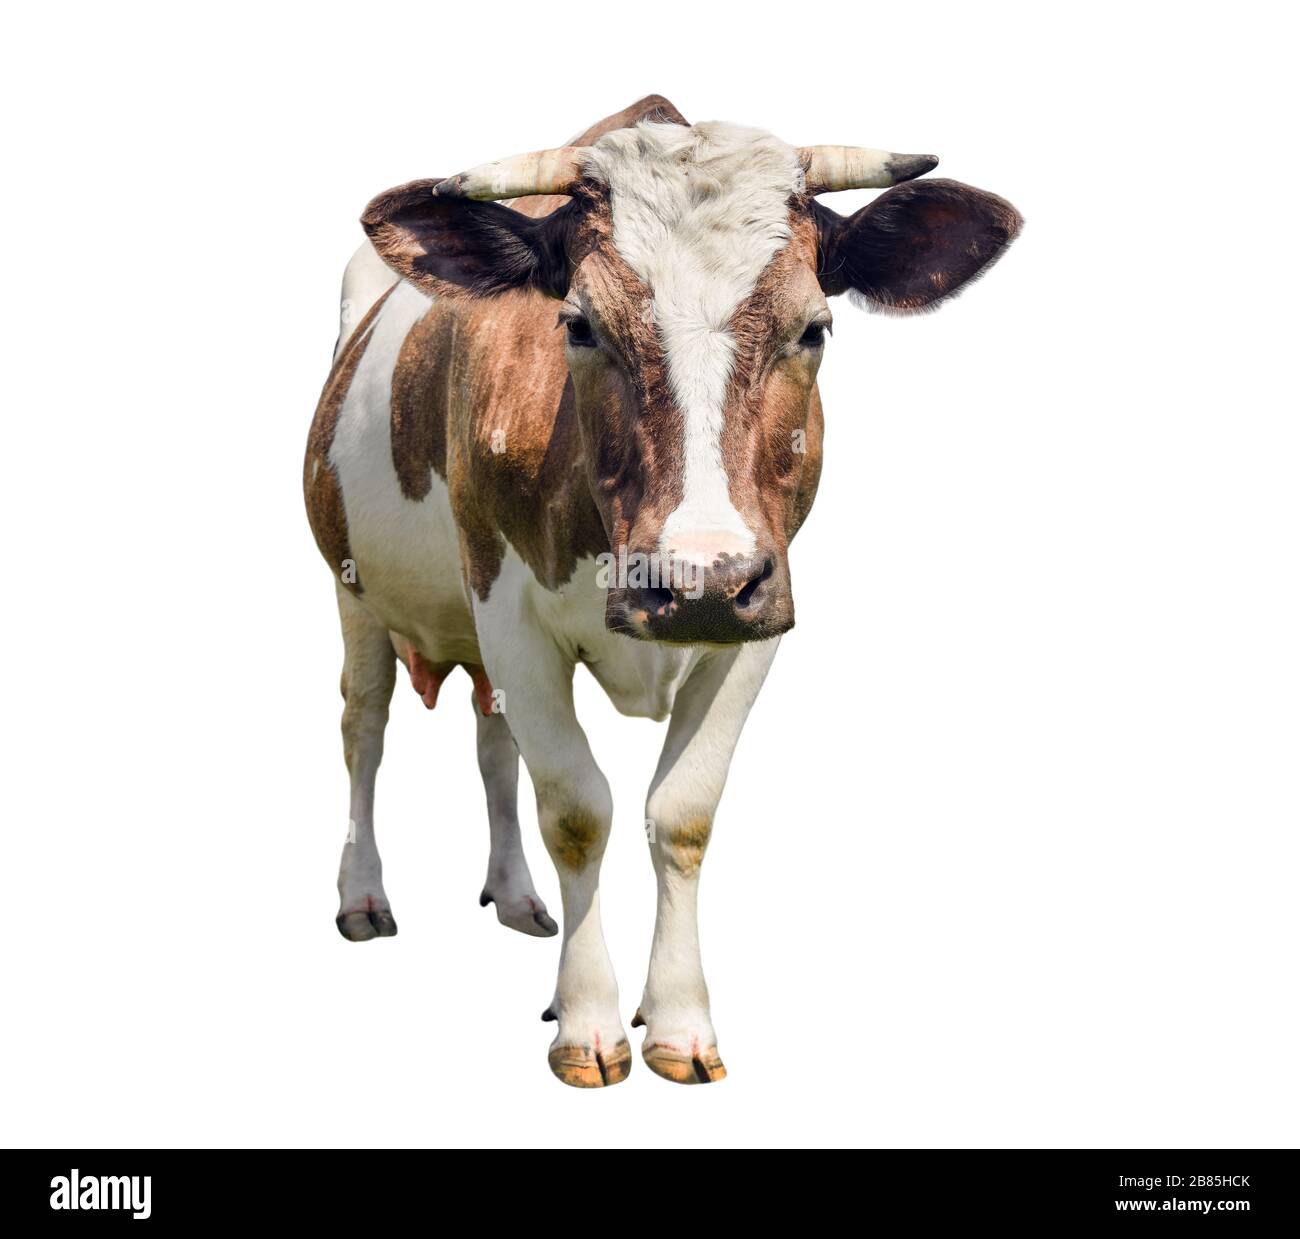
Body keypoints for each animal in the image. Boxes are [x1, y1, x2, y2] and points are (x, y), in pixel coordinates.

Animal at [304, 96, 1021, 1087]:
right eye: (577, 324)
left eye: (814, 328)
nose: (697, 579)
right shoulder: (509, 608)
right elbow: (576, 807)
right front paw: (588, 1023)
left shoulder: (756, 616)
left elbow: (680, 814)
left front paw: (677, 1019)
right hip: (355, 594)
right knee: (363, 731)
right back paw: (363, 894)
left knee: (491, 745)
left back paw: (518, 897)